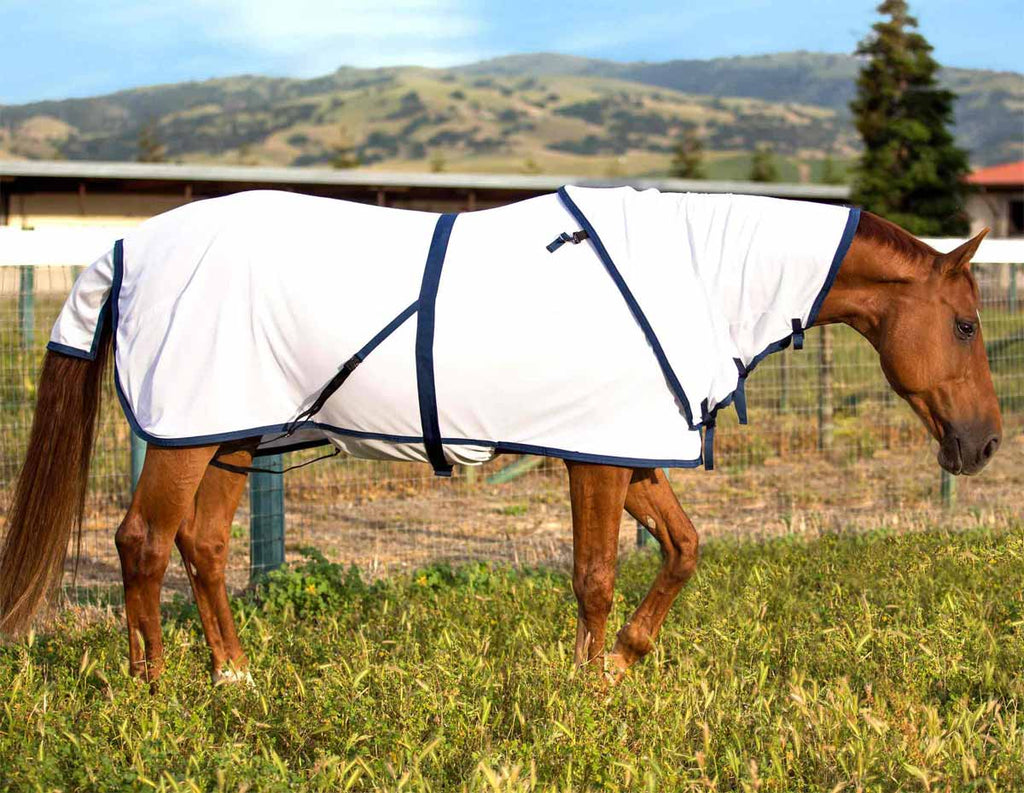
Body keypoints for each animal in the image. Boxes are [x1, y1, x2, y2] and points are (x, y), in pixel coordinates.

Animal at [0, 191, 1002, 689]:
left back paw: (234, 676)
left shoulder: (631, 450)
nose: (987, 444)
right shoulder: (596, 453)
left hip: (227, 432)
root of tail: (127, 246)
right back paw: (154, 692)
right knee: (142, 541)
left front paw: (623, 665)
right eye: (963, 324)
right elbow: (595, 575)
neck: (694, 272)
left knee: (201, 545)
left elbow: (682, 549)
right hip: (184, 434)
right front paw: (588, 692)